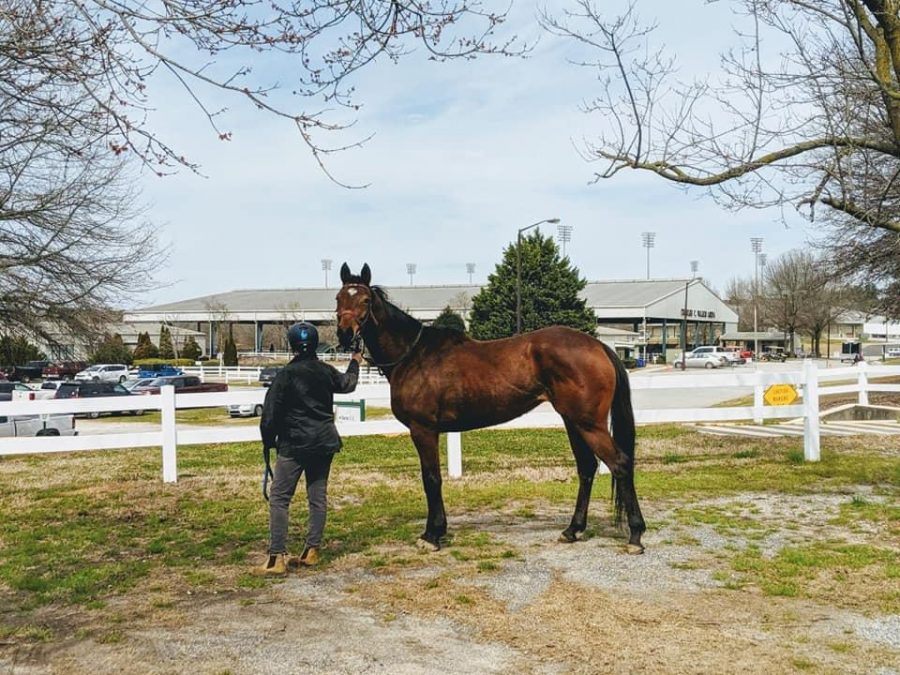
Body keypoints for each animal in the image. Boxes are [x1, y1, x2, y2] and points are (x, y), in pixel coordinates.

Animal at [335, 263, 646, 554]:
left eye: (365, 300)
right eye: (338, 298)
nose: (345, 335)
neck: (414, 355)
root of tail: (599, 346)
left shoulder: (423, 430)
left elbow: (431, 479)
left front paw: (432, 534)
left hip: (588, 424)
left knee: (619, 464)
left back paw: (635, 535)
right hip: (573, 421)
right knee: (587, 467)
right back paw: (573, 530)